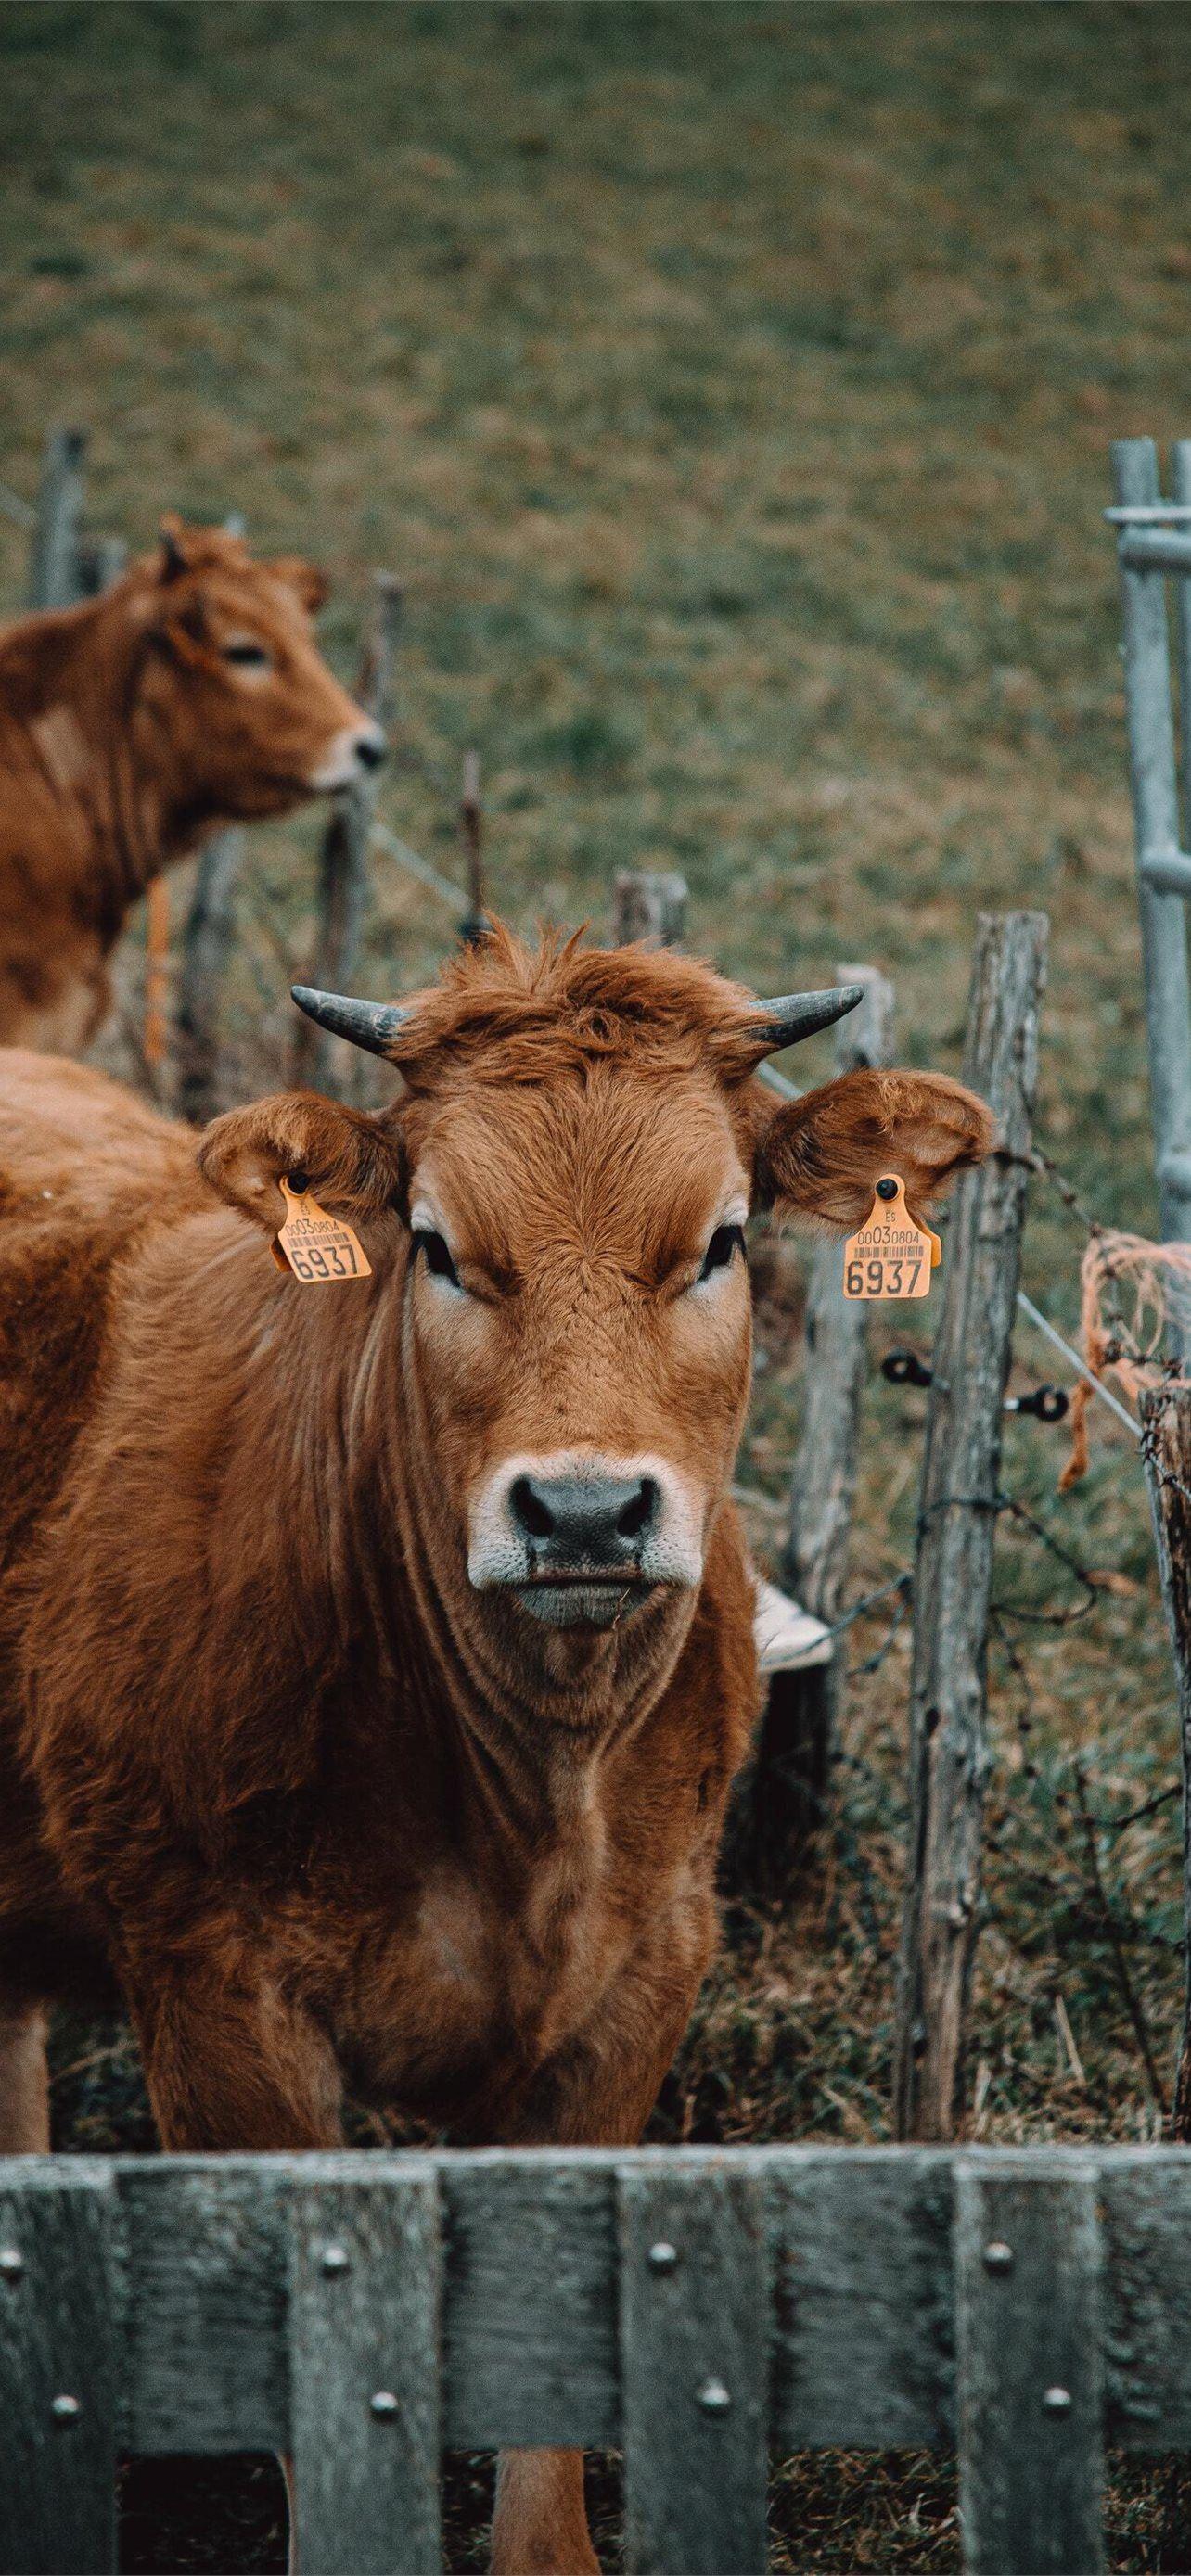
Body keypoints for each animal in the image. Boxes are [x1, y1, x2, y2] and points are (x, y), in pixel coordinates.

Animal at [0, 925, 992, 2572]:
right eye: (437, 1243)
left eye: (722, 1240)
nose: (585, 1511)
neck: (532, 1797)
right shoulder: (215, 2010)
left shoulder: (646, 1974)